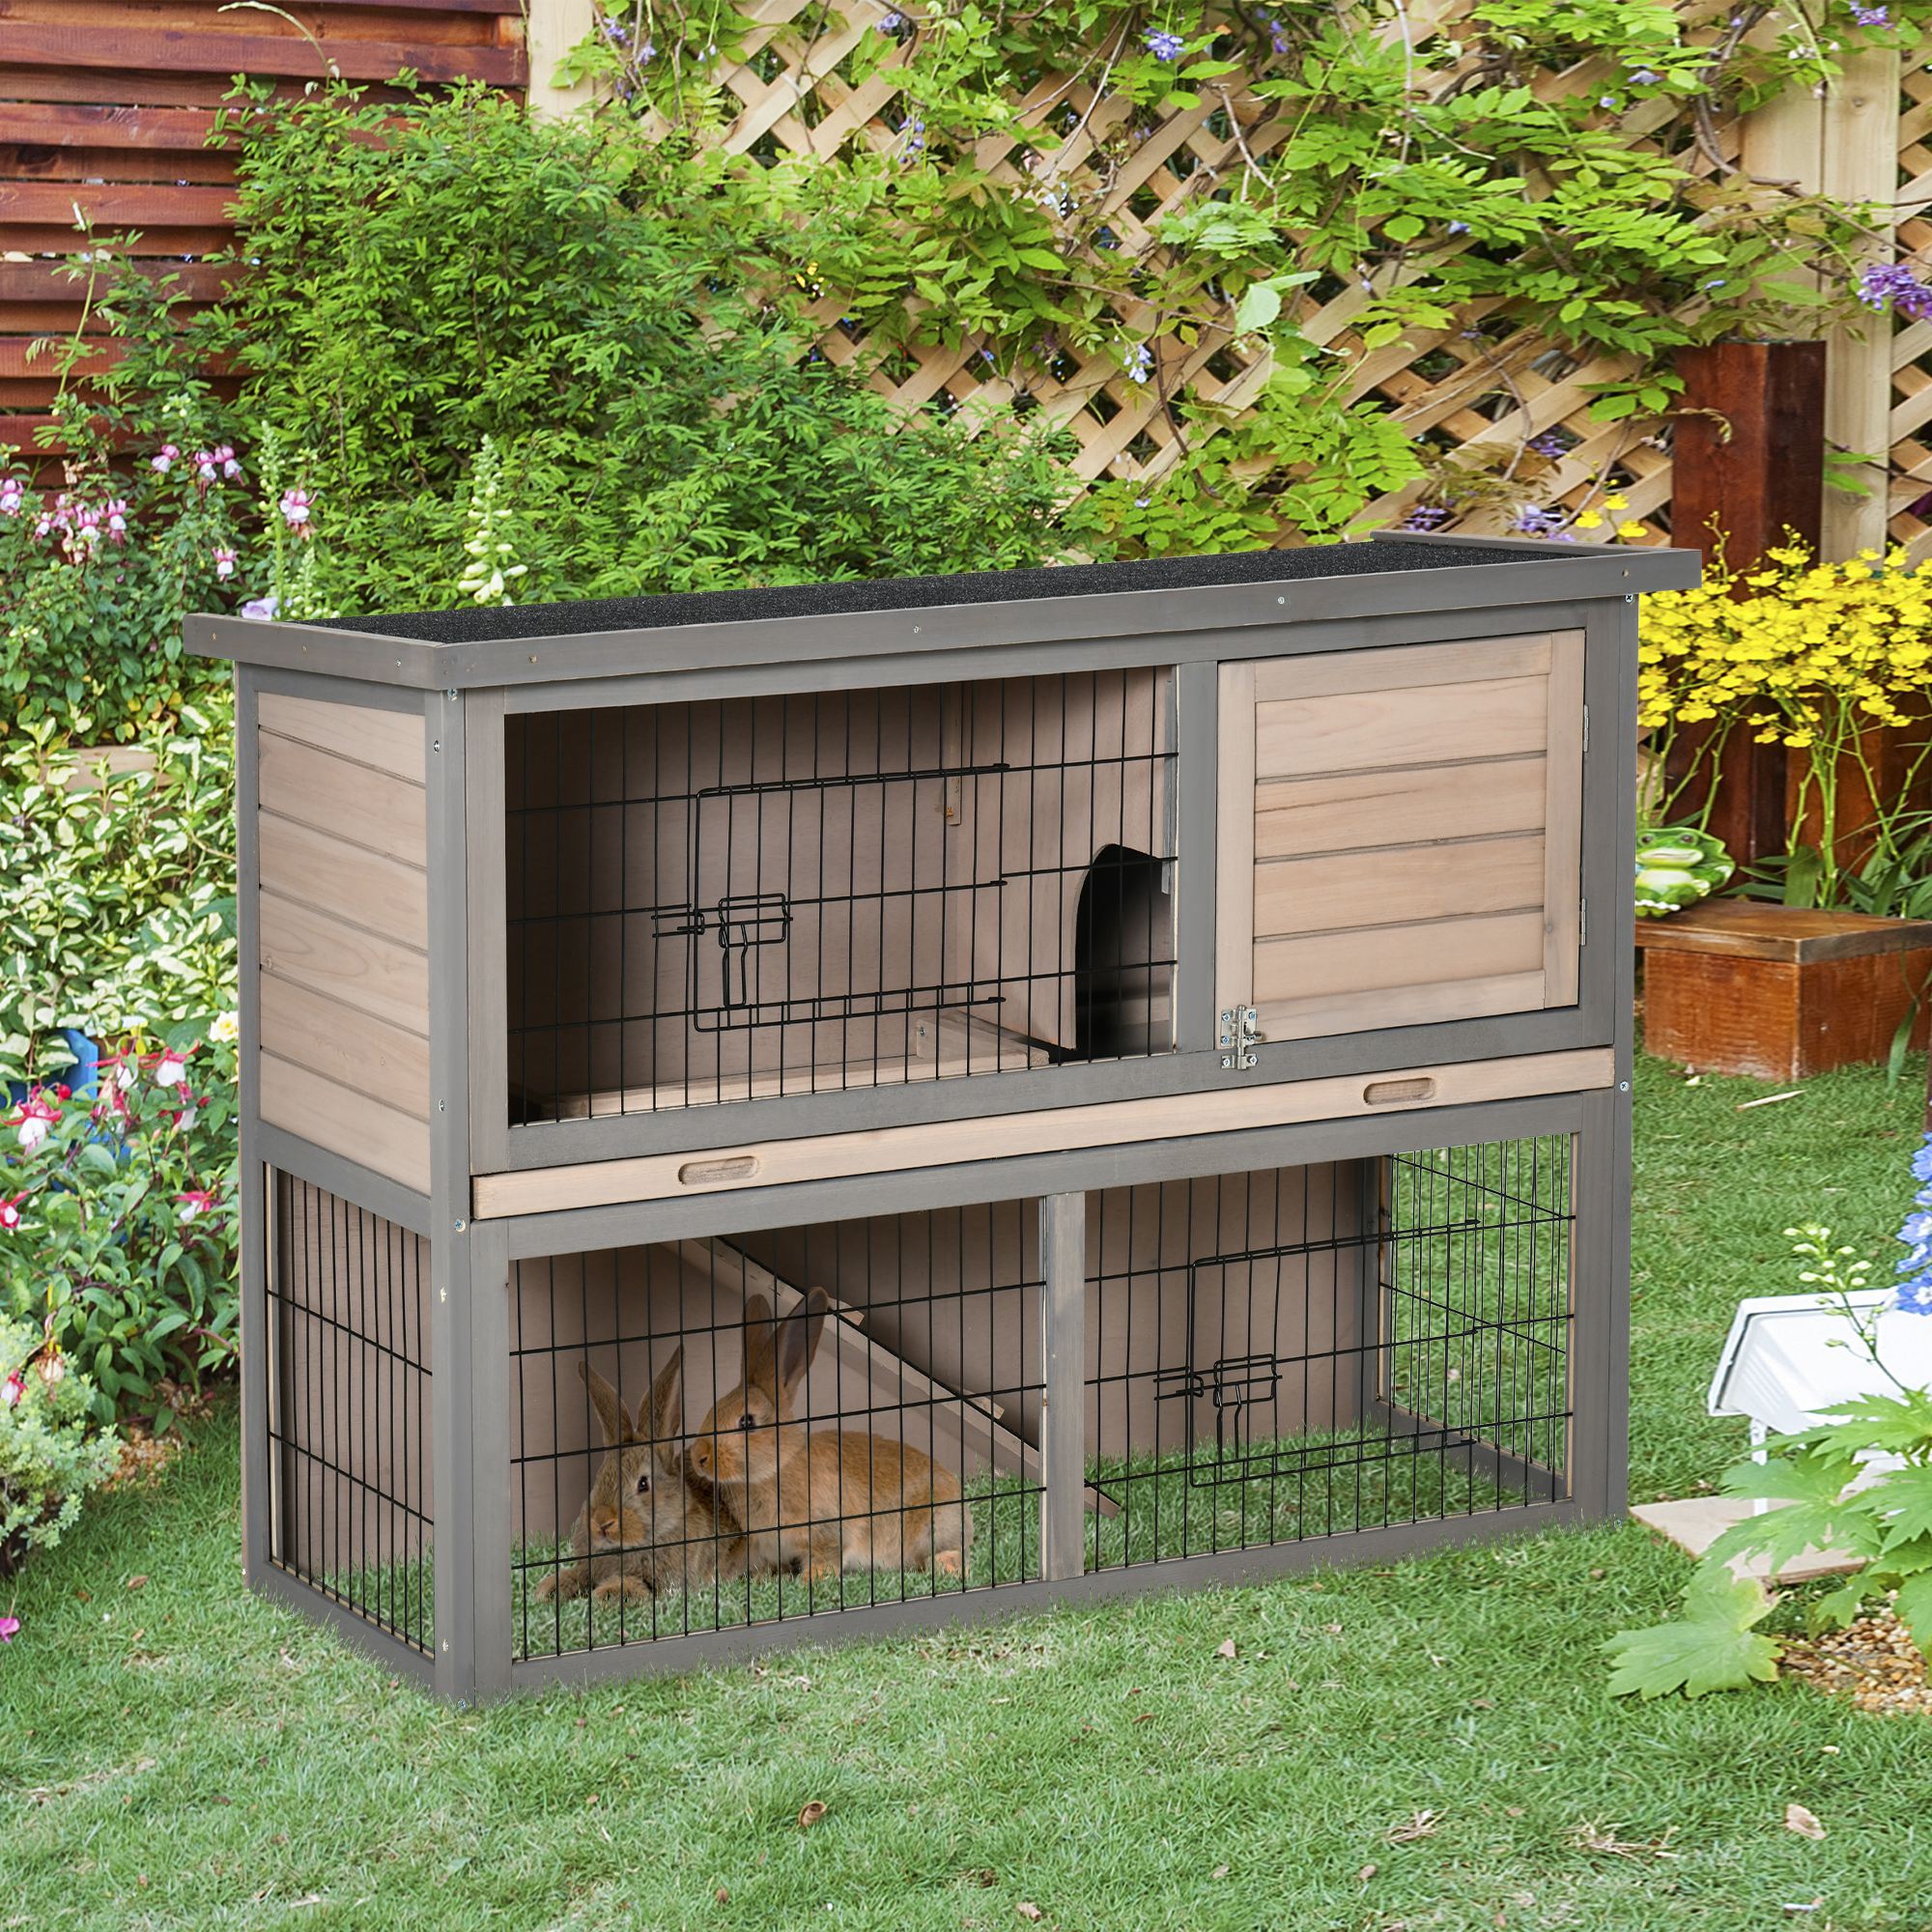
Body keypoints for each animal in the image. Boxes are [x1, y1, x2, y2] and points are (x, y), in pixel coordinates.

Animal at [534, 1348, 744, 1603]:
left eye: (643, 1484)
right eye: (599, 1477)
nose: (603, 1521)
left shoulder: (667, 1585)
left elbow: (634, 1587)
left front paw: (604, 1596)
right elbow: (576, 1575)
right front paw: (547, 1590)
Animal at [685, 1288, 972, 1585]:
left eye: (746, 1422)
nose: (699, 1457)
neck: (777, 1468)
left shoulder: (829, 1529)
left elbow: (828, 1557)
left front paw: (809, 1581)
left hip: (932, 1526)